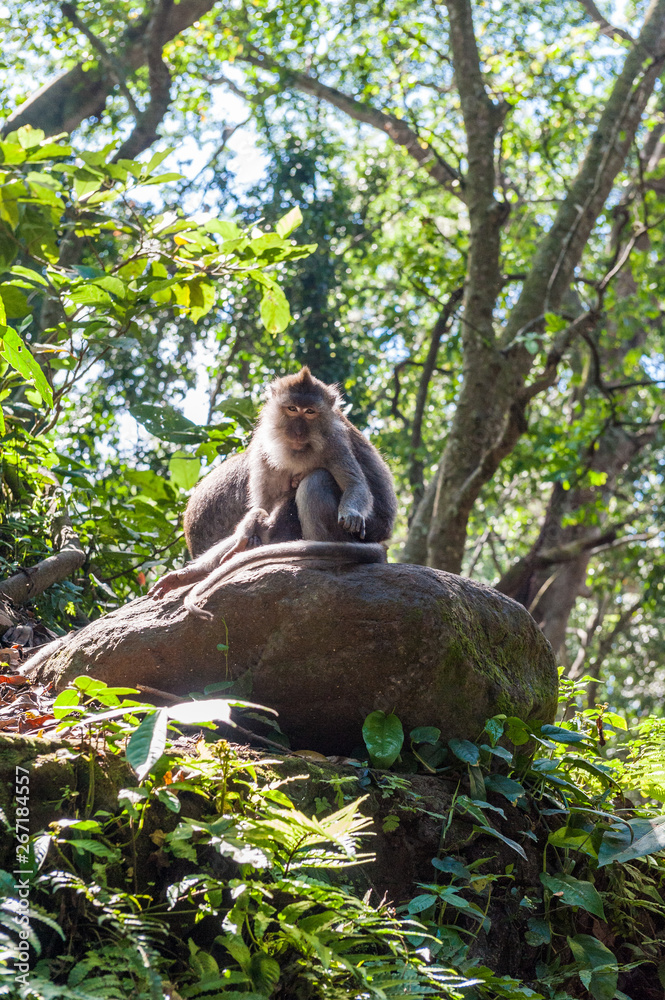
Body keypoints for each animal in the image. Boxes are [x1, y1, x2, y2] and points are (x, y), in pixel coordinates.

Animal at [148, 366, 397, 601]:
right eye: (292, 409)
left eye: (309, 412)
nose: (298, 431)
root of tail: (384, 535)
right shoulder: (263, 446)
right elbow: (262, 506)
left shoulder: (335, 442)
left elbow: (355, 484)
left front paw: (350, 512)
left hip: (367, 531)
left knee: (316, 480)